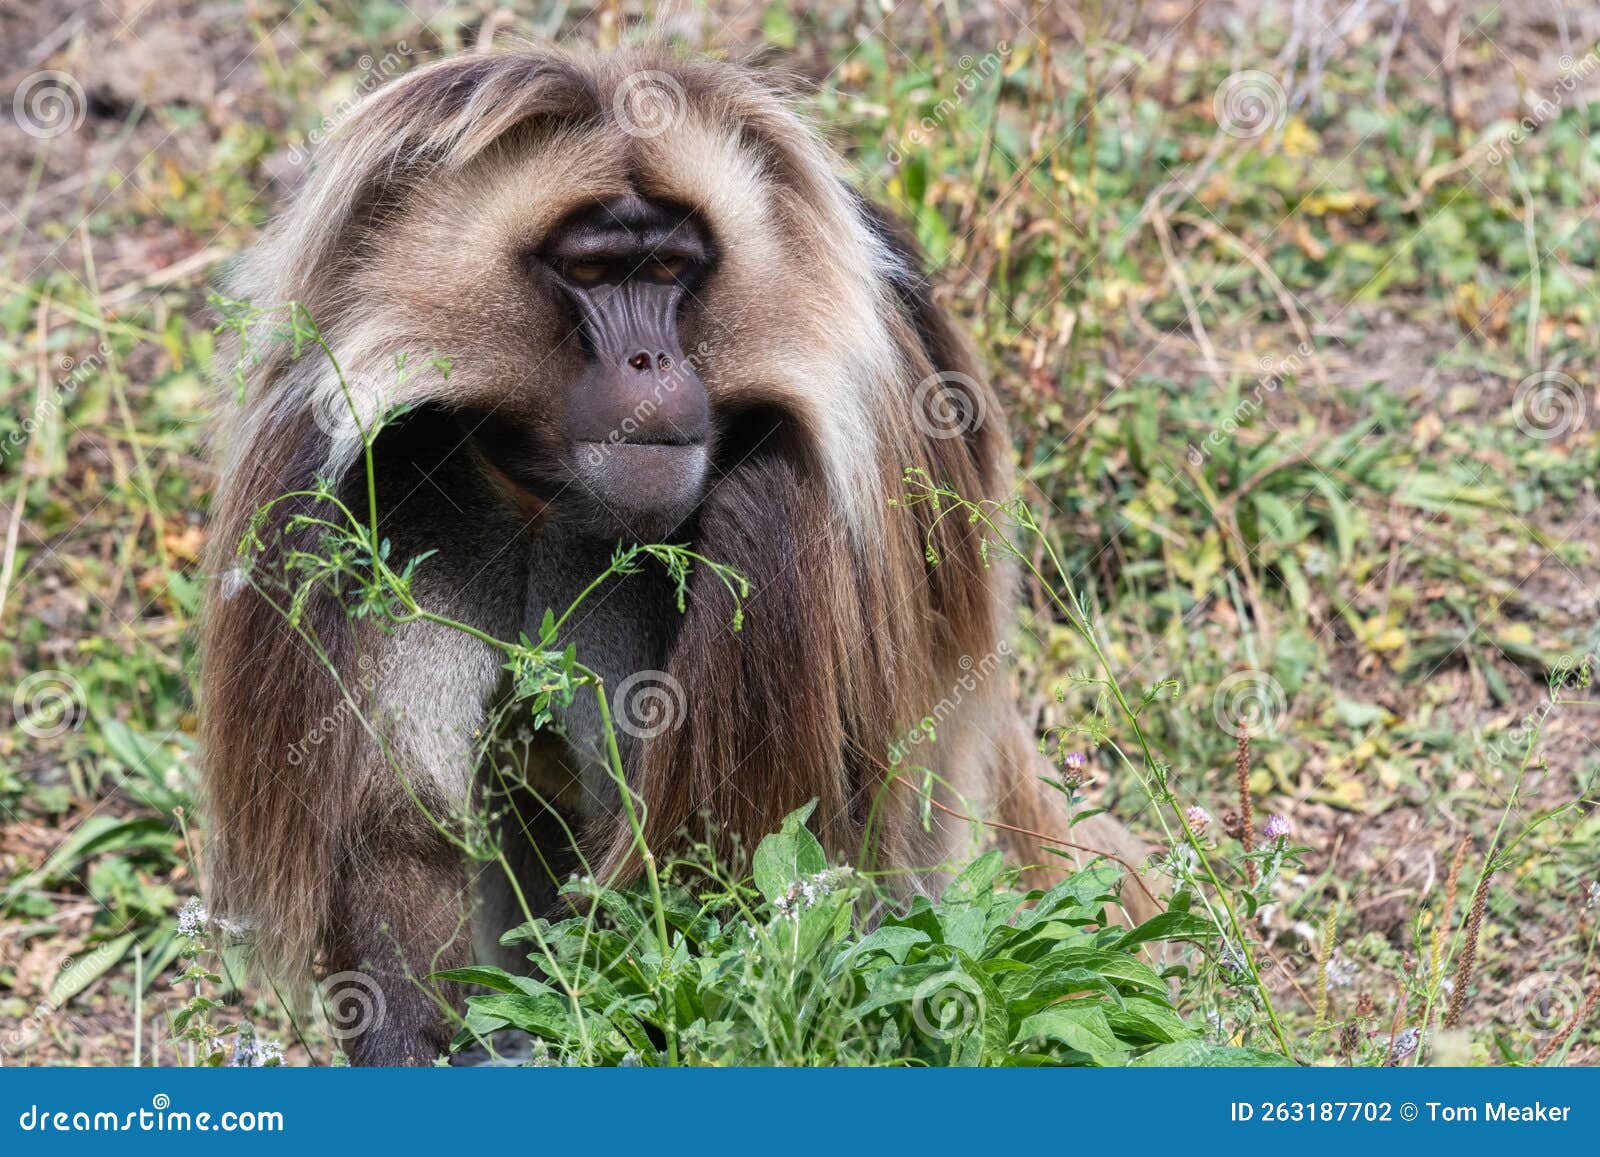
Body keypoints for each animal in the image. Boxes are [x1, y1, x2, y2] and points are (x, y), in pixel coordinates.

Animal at [200, 44, 1155, 1066]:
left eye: (668, 267)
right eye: (591, 269)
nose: (652, 365)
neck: (546, 492)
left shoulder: (805, 490)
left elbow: (716, 892)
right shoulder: (380, 496)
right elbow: (402, 832)